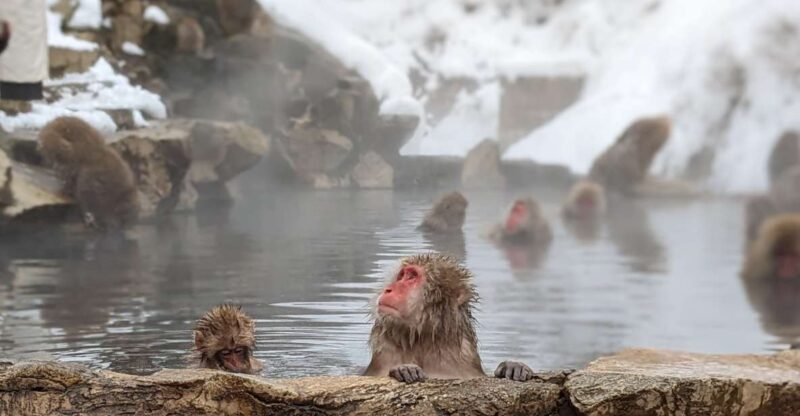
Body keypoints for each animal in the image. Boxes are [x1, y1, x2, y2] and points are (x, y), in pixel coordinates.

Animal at [364, 253, 534, 383]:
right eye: (401, 276)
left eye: (412, 277)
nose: (388, 289)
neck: (422, 339)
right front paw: (404, 369)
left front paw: (513, 366)